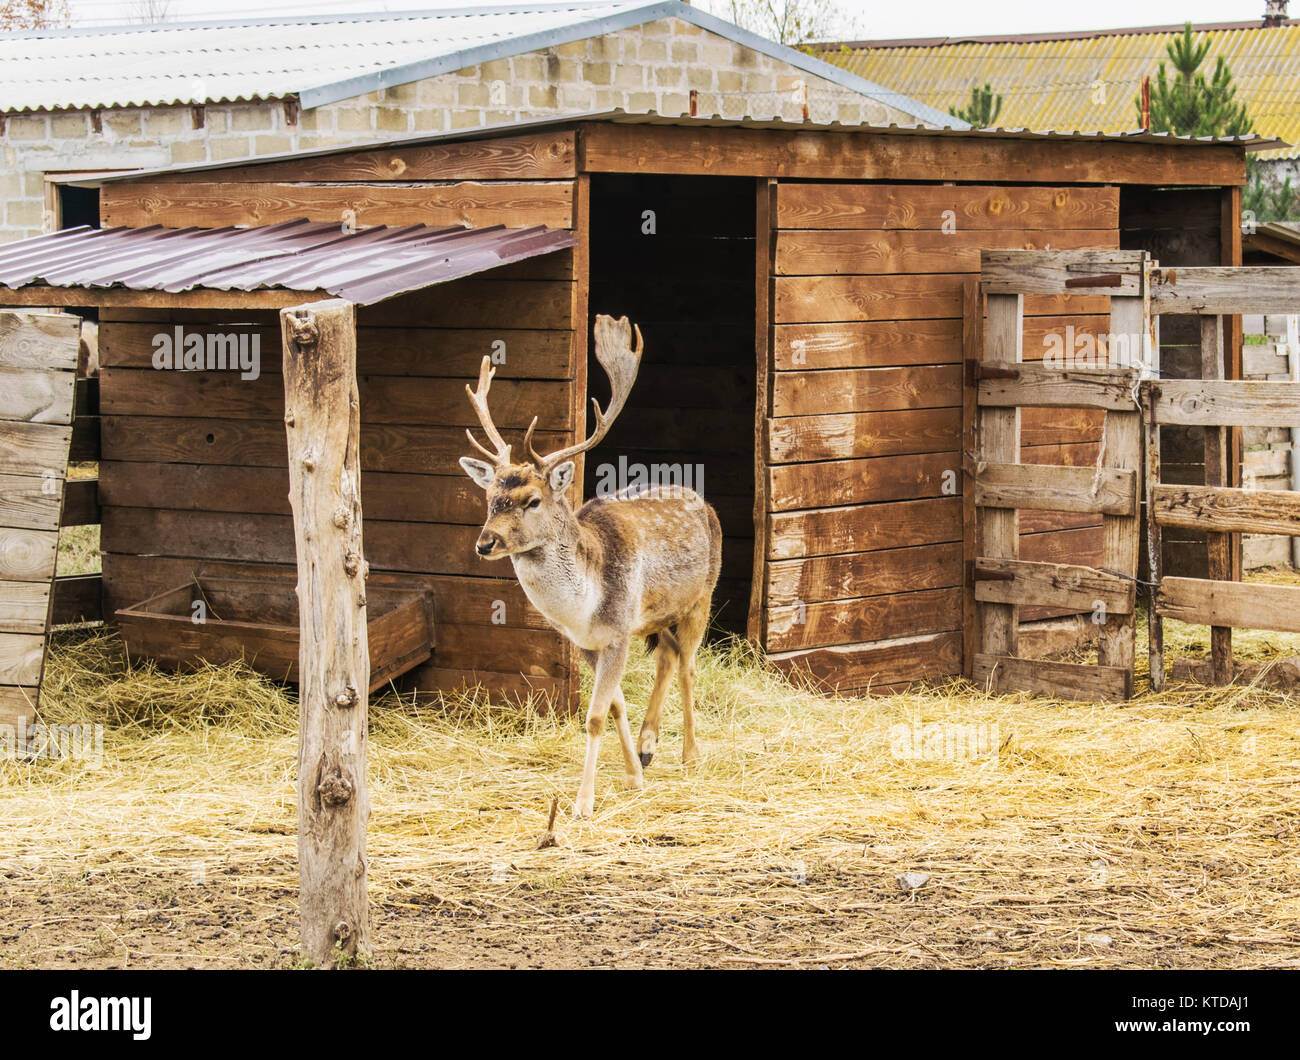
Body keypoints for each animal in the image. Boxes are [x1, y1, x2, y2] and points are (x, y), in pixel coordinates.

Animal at [459, 315, 722, 818]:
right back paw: (649, 745)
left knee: (688, 665)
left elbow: (596, 716)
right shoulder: (587, 642)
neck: (585, 604)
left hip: (702, 595)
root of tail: (703, 501)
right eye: (490, 497)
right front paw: (634, 775)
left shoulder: (617, 631)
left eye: (532, 499)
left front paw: (583, 803)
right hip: (657, 615)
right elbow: (615, 707)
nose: (485, 543)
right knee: (667, 654)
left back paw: (692, 754)